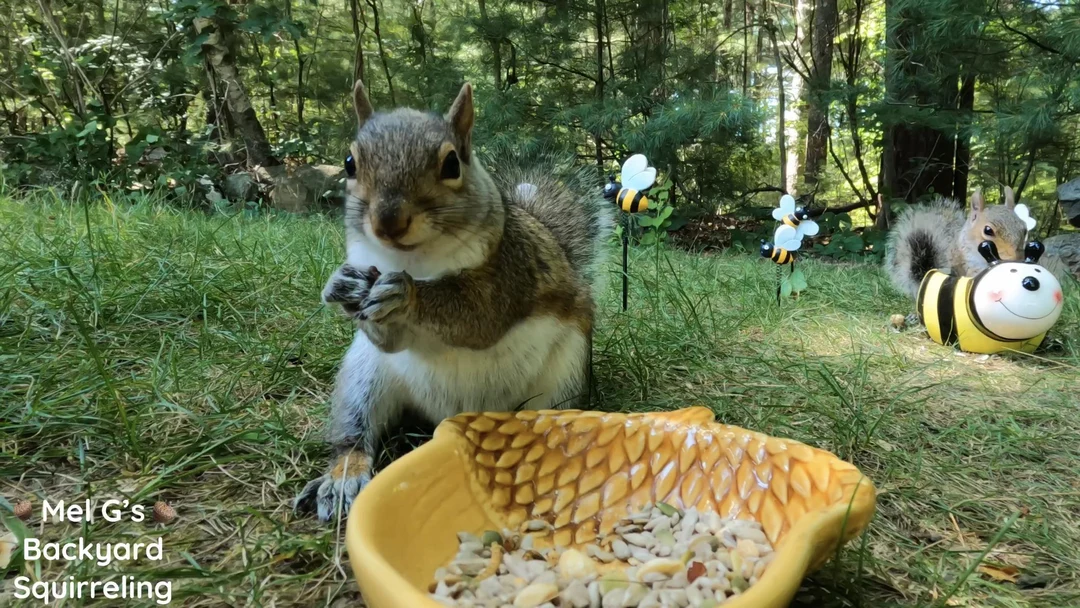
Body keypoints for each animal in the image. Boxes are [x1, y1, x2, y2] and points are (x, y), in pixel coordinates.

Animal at [294, 81, 613, 521]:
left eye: (451, 164)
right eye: (349, 163)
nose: (388, 221)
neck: (413, 259)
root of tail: (455, 416)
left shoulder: (508, 273)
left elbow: (477, 318)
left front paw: (407, 295)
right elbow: (388, 338)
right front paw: (341, 285)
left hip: (564, 380)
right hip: (364, 375)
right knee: (354, 436)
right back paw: (342, 478)